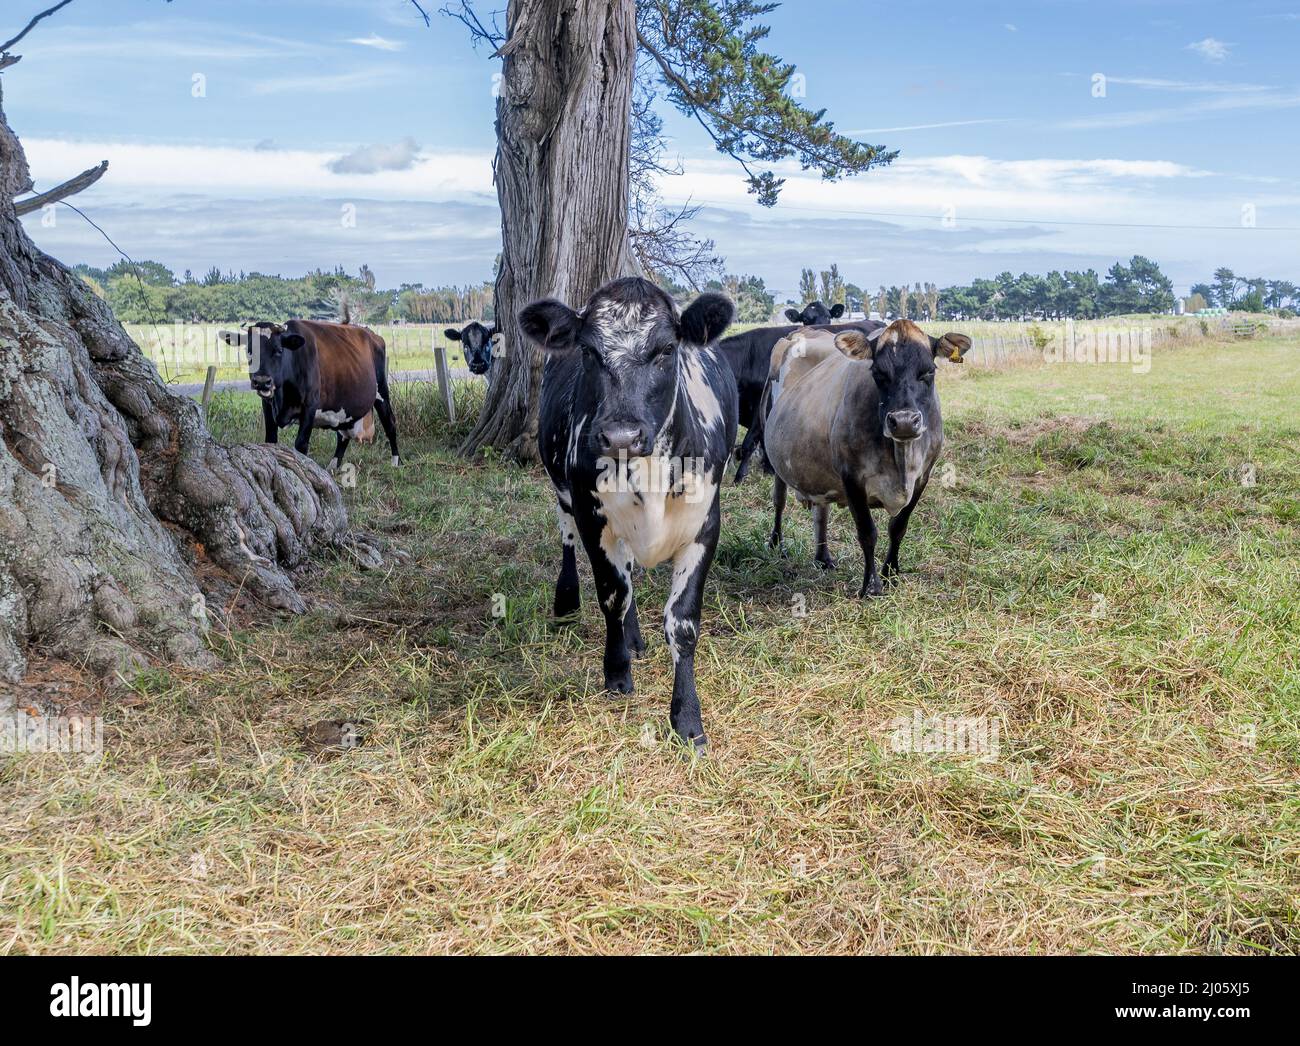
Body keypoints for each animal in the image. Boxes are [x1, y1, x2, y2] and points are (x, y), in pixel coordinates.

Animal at [218, 320, 401, 472]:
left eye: (278, 351)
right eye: (249, 351)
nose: (262, 381)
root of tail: (372, 334)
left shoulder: (310, 405)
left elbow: (301, 444)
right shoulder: (268, 406)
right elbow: (270, 440)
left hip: (381, 391)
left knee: (390, 423)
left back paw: (396, 462)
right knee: (342, 435)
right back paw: (333, 466)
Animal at [526, 276, 737, 751]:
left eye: (666, 349)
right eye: (589, 351)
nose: (621, 435)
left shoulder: (704, 527)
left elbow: (682, 623)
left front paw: (687, 719)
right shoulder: (594, 520)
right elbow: (612, 596)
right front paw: (617, 672)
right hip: (564, 494)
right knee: (572, 543)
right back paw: (570, 602)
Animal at [716, 305, 883, 483]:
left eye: (827, 316)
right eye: (805, 318)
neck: (749, 357)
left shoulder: (760, 403)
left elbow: (751, 441)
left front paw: (741, 476)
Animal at [762, 320, 971, 598]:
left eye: (928, 372)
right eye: (878, 373)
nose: (904, 421)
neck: (901, 459)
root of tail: (804, 331)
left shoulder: (923, 476)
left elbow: (898, 527)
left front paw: (891, 574)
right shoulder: (852, 477)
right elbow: (867, 532)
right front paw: (870, 585)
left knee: (821, 511)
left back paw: (823, 557)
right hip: (777, 459)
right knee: (779, 500)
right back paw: (776, 542)